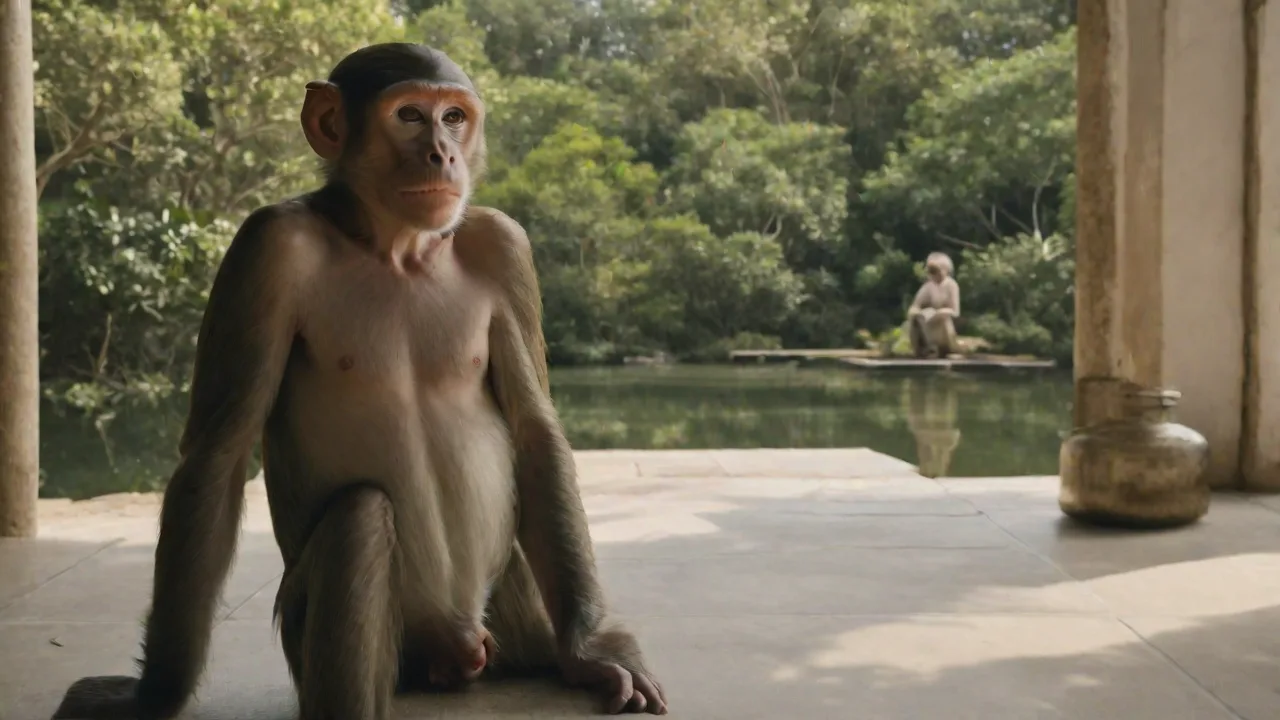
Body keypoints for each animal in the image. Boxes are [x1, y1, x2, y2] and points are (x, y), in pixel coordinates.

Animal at [51, 43, 667, 719]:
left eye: (453, 117)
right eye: (409, 115)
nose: (444, 153)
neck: (393, 243)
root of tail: (460, 652)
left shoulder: (503, 245)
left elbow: (534, 427)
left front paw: (591, 649)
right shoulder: (265, 247)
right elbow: (219, 451)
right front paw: (154, 691)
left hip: (513, 608)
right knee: (359, 520)